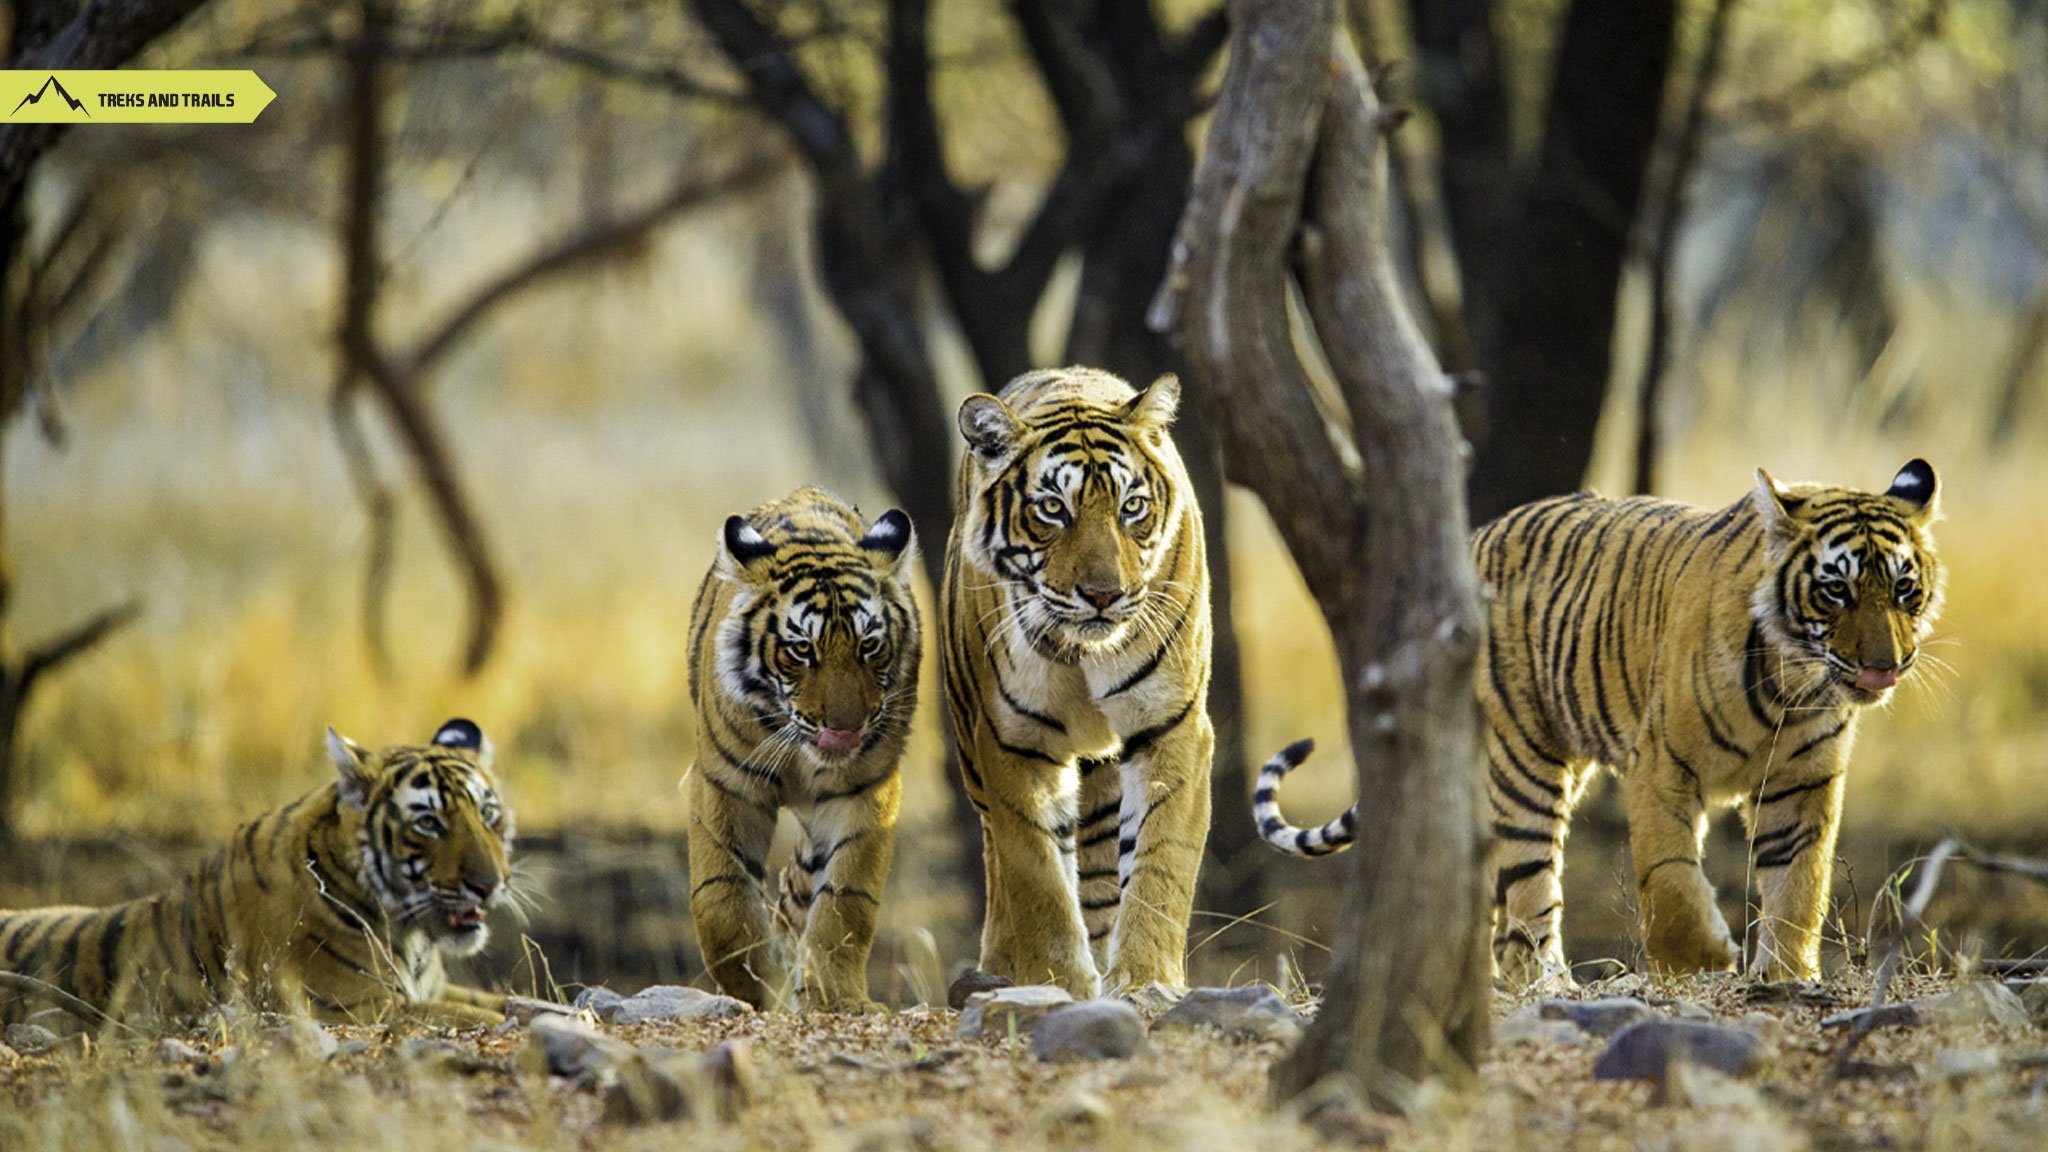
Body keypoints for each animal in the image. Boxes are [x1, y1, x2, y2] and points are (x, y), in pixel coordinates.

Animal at [0, 719, 515, 1028]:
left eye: (488, 815)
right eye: (428, 823)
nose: (489, 885)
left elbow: (509, 1002)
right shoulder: (357, 1007)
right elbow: (483, 1017)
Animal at [683, 486, 920, 1012]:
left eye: (869, 646)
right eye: (801, 650)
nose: (846, 730)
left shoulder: (865, 790)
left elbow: (846, 902)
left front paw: (834, 998)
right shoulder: (725, 784)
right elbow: (721, 901)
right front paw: (758, 987)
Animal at [942, 366, 1213, 998]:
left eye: (1132, 507)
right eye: (1052, 509)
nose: (1103, 595)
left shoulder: (1172, 725)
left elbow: (1161, 861)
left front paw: (1146, 978)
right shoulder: (1014, 741)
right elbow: (1036, 875)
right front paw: (1057, 981)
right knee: (999, 860)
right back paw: (997, 966)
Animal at [1252, 460, 1943, 986]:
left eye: (1904, 590)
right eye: (1836, 590)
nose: (1885, 666)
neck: (1791, 685)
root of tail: (1472, 538)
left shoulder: (1802, 784)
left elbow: (1801, 883)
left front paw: (1788, 975)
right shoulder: (1660, 766)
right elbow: (1669, 879)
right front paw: (1701, 962)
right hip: (1523, 762)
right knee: (1528, 891)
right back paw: (1546, 982)